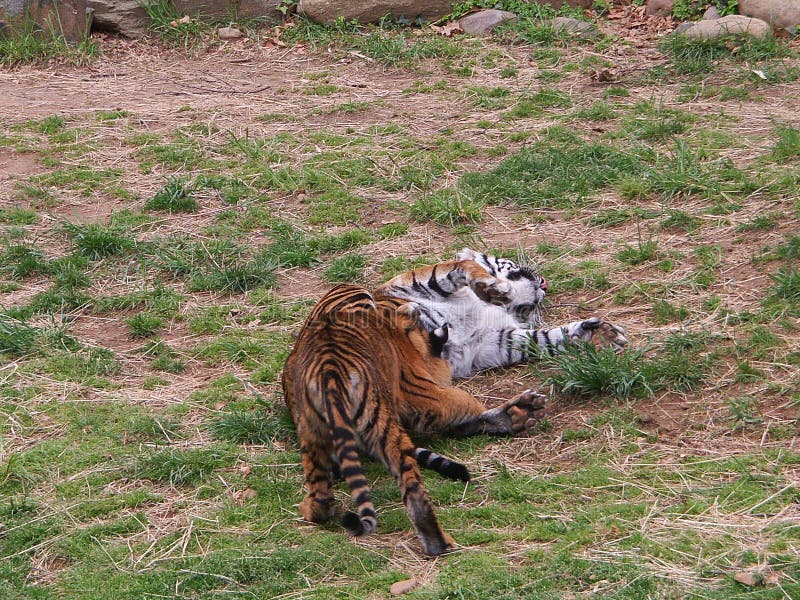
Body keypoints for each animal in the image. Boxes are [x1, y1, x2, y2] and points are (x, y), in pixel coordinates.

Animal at [282, 282, 547, 555]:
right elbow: (463, 405)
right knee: (411, 486)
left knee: (320, 495)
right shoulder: (419, 394)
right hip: (381, 423)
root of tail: (329, 377)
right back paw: (437, 542)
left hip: (312, 435)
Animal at [376, 247, 628, 378]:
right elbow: (458, 267)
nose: (545, 284)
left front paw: (600, 335)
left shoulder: (489, 342)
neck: (494, 307)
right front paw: (493, 287)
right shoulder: (406, 284)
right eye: (512, 263)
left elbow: (541, 338)